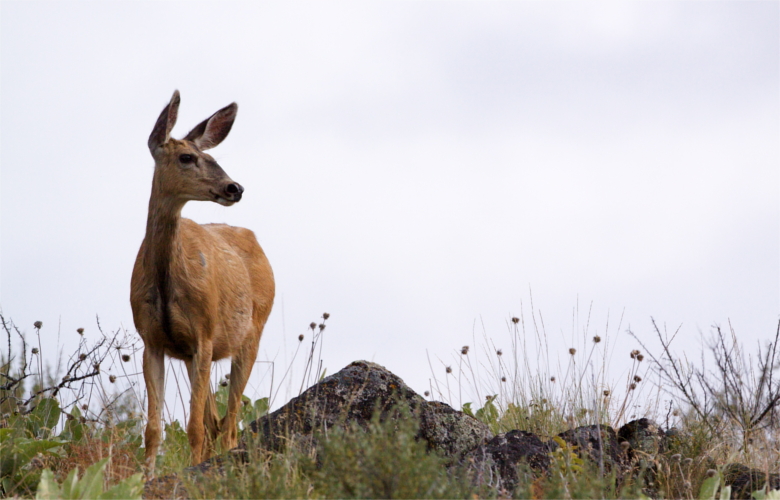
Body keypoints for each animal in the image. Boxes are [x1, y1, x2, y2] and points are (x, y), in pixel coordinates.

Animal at [130, 90, 274, 476]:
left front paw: (191, 473)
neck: (166, 282)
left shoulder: (204, 333)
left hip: (251, 333)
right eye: (187, 157)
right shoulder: (152, 339)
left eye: (212, 157)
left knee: (229, 423)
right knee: (216, 421)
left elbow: (194, 425)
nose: (234, 187)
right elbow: (153, 428)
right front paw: (145, 478)